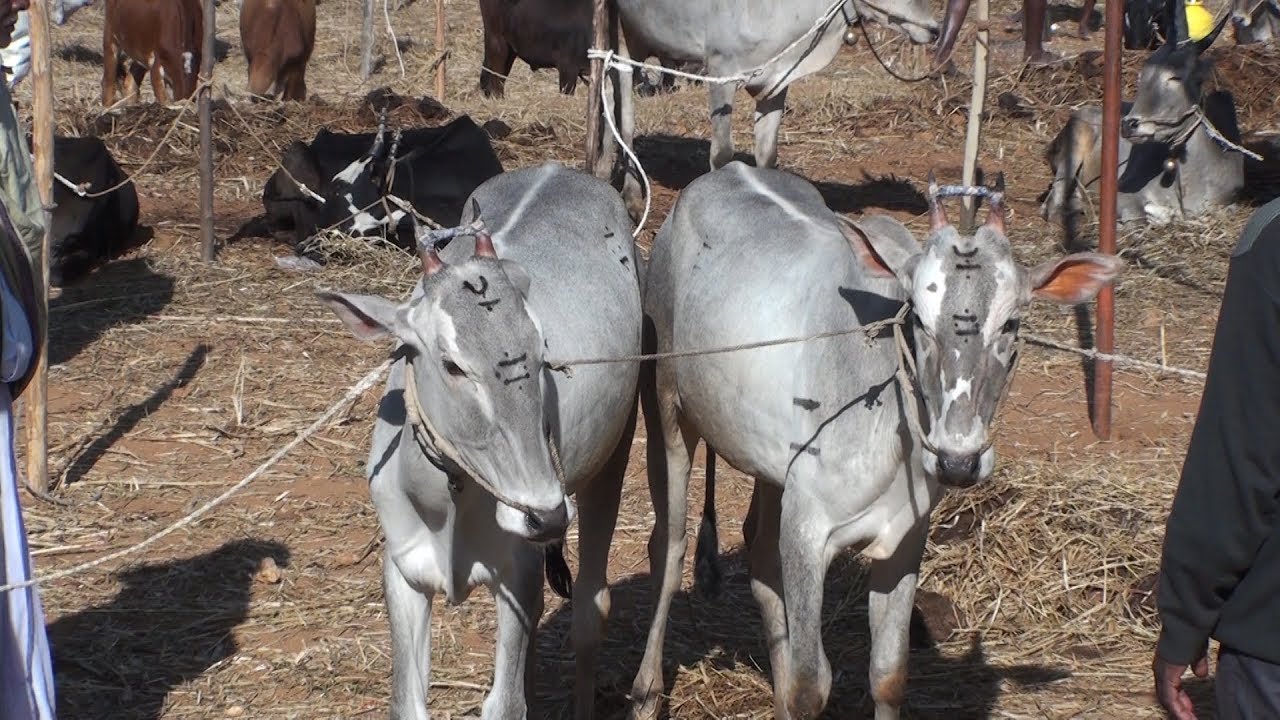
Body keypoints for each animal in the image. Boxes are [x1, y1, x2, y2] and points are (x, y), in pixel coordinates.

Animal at [317, 162, 642, 720]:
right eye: (451, 364)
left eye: (541, 350)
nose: (545, 515)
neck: (449, 504)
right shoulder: (402, 572)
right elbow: (409, 702)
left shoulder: (517, 572)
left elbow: (505, 703)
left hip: (613, 456)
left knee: (589, 609)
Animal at [597, 0, 951, 218]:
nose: (935, 29)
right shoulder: (721, 71)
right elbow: (722, 154)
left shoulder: (777, 85)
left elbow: (767, 156)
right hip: (621, 40)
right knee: (624, 117)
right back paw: (629, 196)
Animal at [632, 161, 1121, 720]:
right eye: (917, 319)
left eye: (1012, 322)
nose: (958, 460)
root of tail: (723, 172)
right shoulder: (807, 530)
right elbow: (809, 684)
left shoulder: (905, 538)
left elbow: (888, 675)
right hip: (666, 414)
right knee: (668, 548)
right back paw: (646, 691)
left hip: (771, 469)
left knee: (758, 554)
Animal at [1040, 12, 1244, 229]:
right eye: (1142, 75)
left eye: (1175, 77)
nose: (1128, 125)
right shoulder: (1123, 196)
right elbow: (1144, 215)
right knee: (1051, 206)